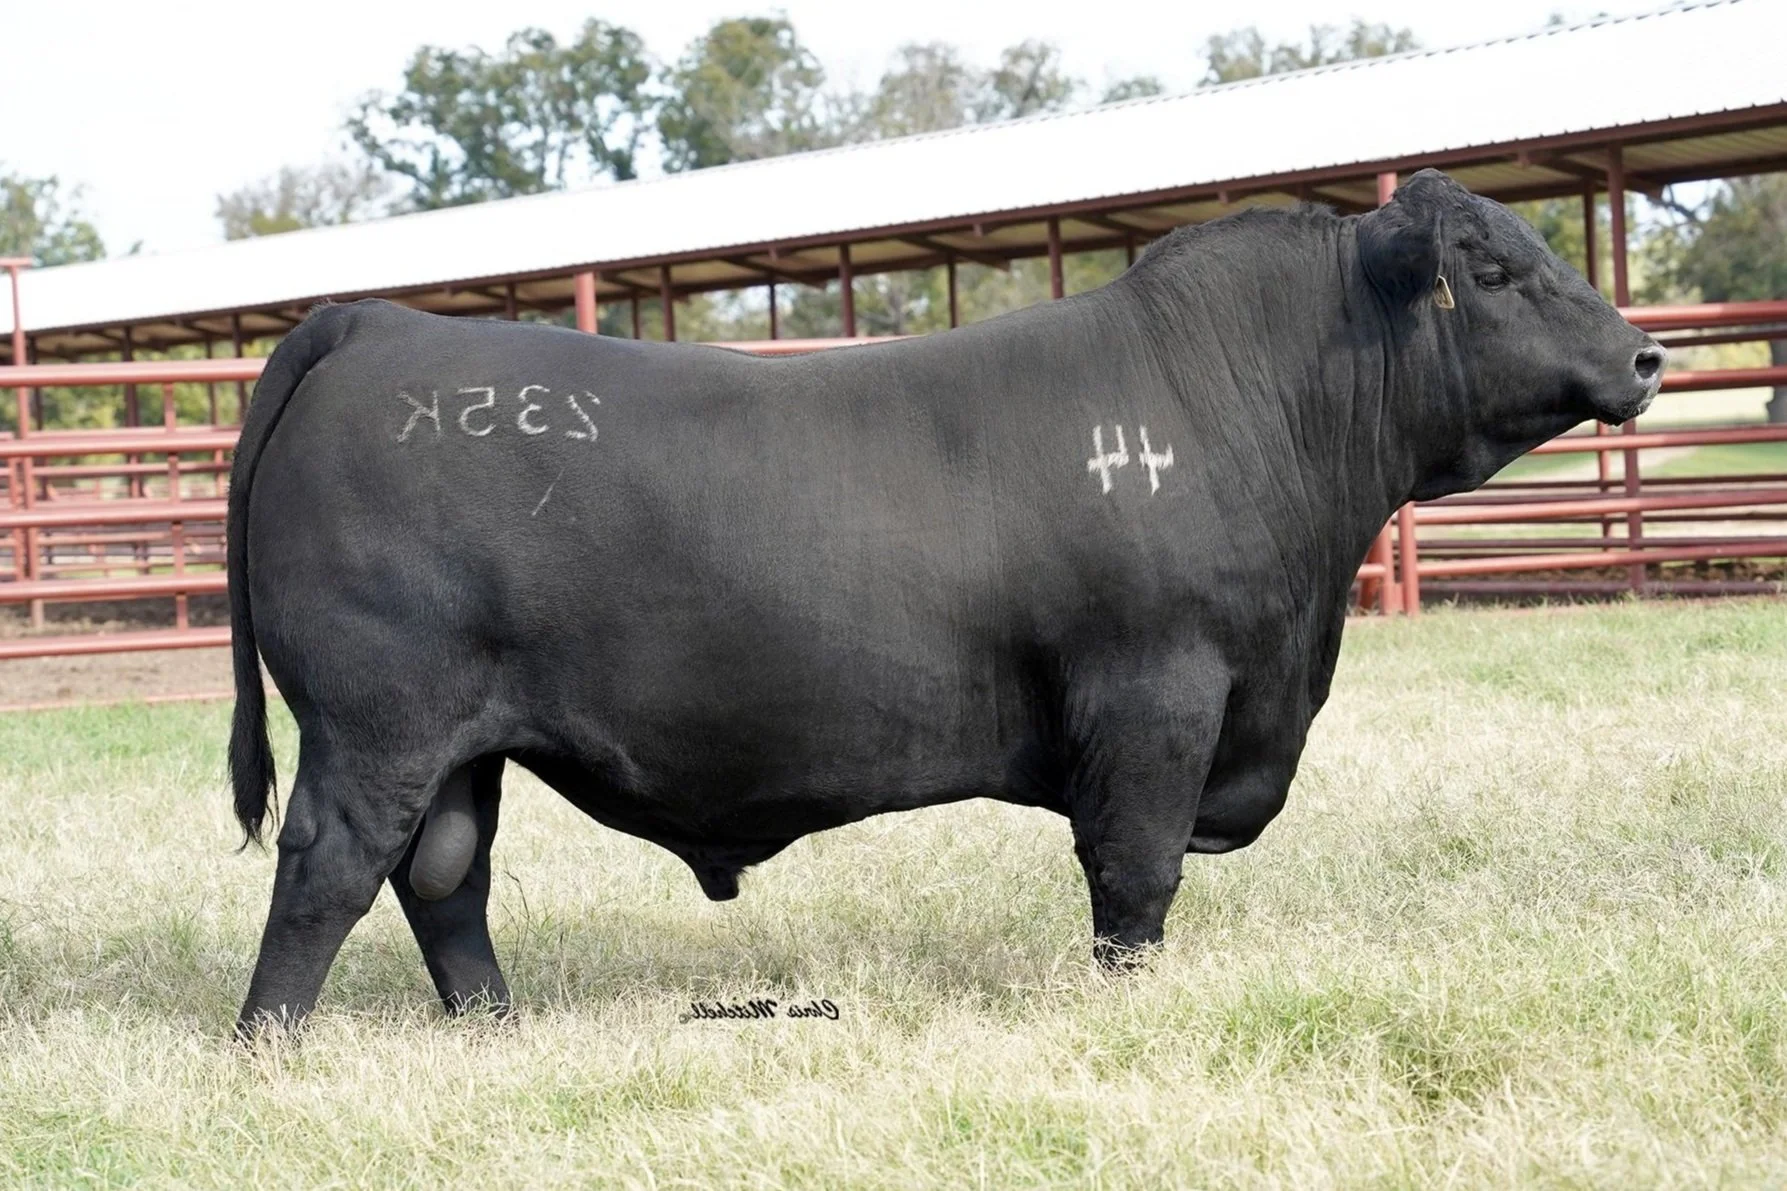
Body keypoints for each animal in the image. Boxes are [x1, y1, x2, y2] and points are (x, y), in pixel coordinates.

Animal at [226, 170, 1665, 1034]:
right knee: (332, 864)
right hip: (376, 720)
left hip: (459, 739)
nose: (1645, 353)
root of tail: (378, 323)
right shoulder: (1157, 693)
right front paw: (1124, 1009)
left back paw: (497, 1028)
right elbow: (1132, 875)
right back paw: (266, 1046)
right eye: (1489, 269)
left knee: (443, 875)